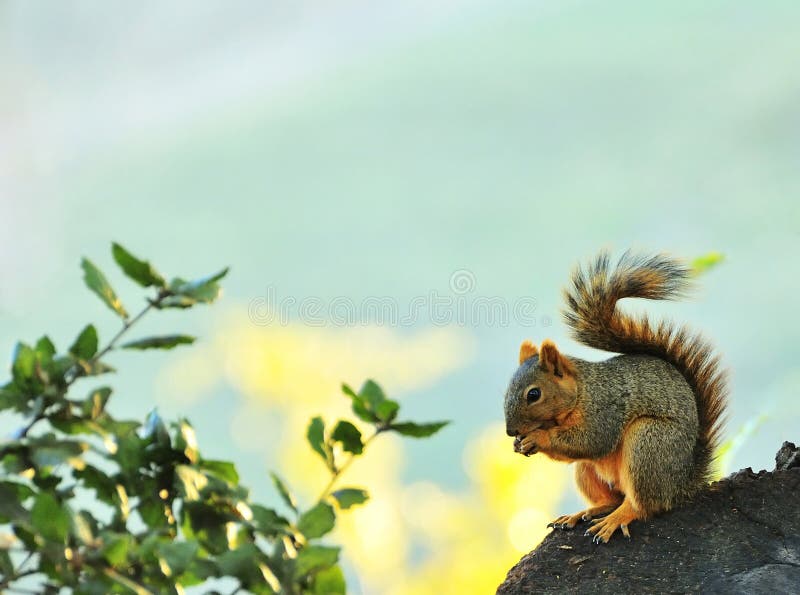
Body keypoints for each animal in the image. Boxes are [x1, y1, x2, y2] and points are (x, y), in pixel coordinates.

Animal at [503, 251, 727, 543]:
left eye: (534, 394)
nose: (511, 431)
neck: (582, 392)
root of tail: (683, 484)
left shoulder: (605, 409)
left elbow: (591, 441)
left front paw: (538, 438)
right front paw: (520, 444)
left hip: (649, 444)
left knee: (644, 505)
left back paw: (617, 518)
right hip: (587, 470)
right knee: (611, 498)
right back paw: (582, 513)